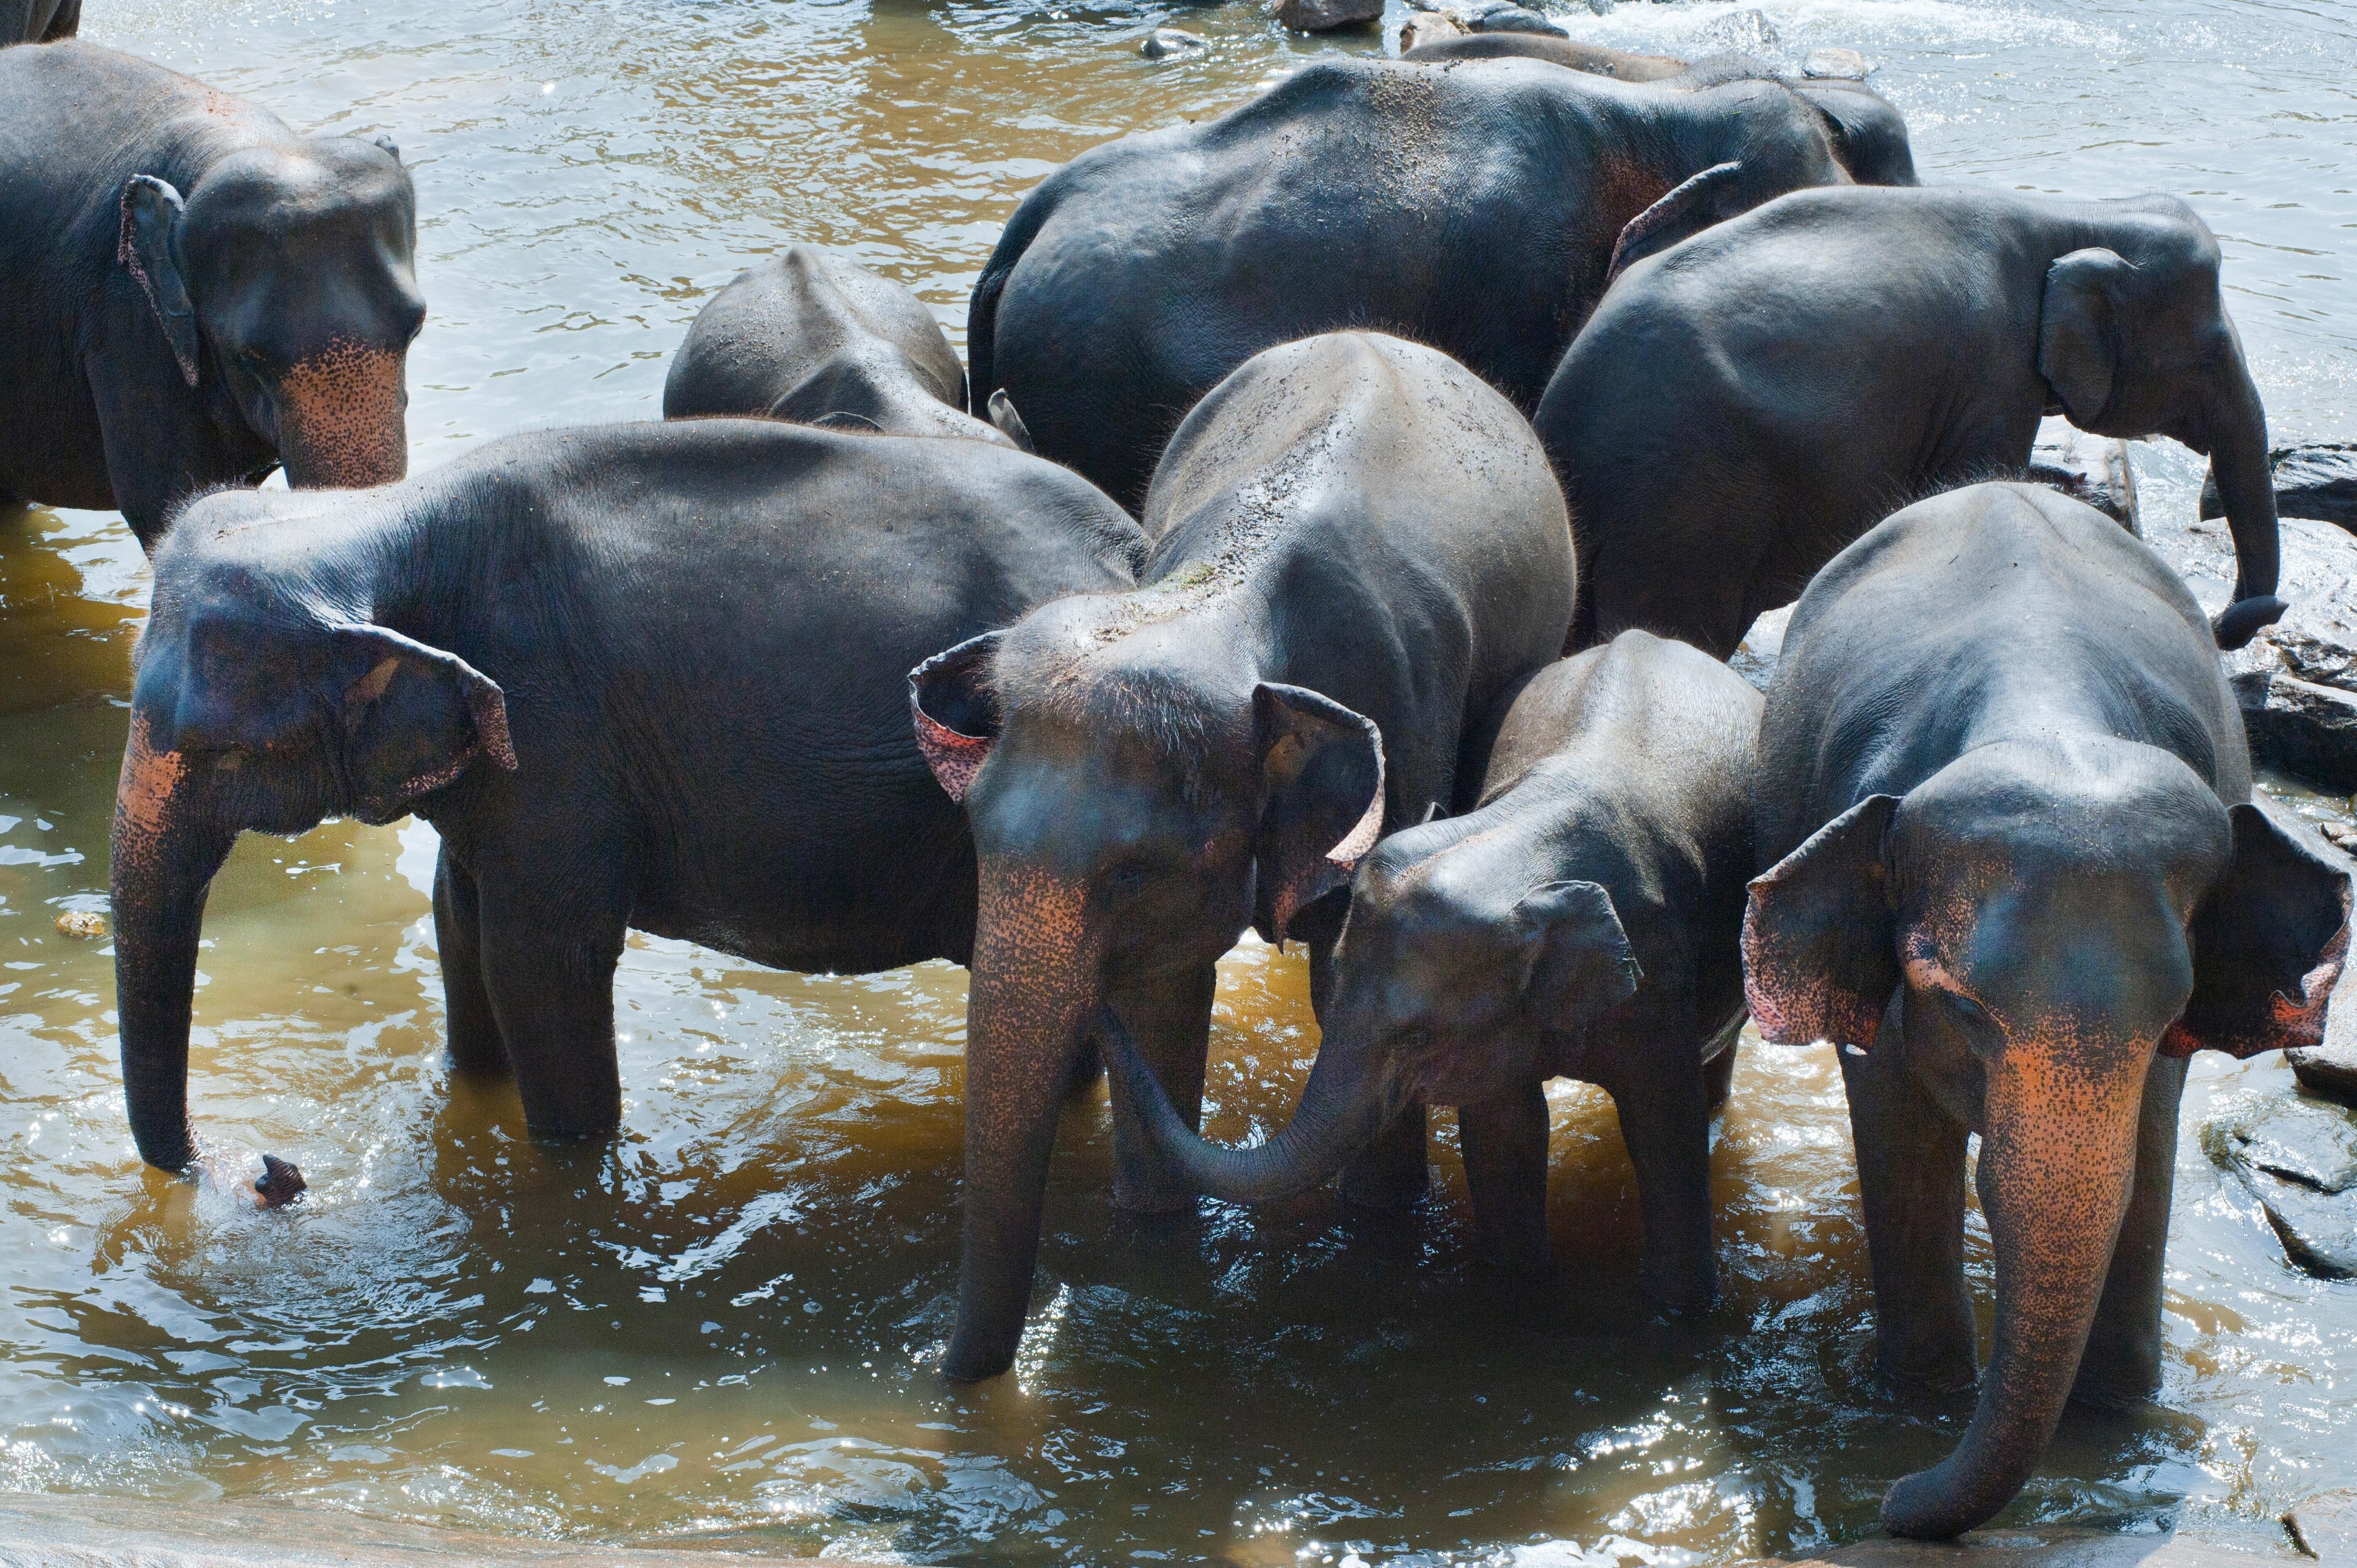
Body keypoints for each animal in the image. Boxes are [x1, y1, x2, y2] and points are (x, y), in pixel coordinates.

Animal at [110, 418, 1145, 1175]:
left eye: (218, 751)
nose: (267, 1170)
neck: (383, 517)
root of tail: (1137, 554)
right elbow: (460, 918)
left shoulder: (556, 734)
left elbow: (542, 961)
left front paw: (572, 1168)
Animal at [906, 332, 1577, 1379]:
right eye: (975, 836)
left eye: (1132, 873)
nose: (934, 1366)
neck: (1218, 605)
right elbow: (1167, 997)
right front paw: (1152, 1239)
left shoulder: (1403, 726)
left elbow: (1344, 982)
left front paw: (1378, 1225)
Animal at [1101, 630, 1760, 1313]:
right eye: (1331, 990)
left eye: (1420, 1038)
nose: (1098, 1006)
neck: (1517, 831)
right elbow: (1505, 1131)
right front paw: (1513, 1284)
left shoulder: (1659, 973)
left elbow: (1665, 1133)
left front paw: (1680, 1312)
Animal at [1534, 186, 2290, 659]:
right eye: (2209, 354)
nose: (2236, 614)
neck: (2074, 215)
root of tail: (1560, 410)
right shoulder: (1992, 379)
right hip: (1685, 500)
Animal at [1743, 481, 2349, 1539]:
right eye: (1958, 1007)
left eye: (2175, 1008)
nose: (1890, 1500)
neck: (2047, 710)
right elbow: (1897, 1133)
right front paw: (1917, 1410)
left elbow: (2147, 1155)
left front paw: (2114, 1417)